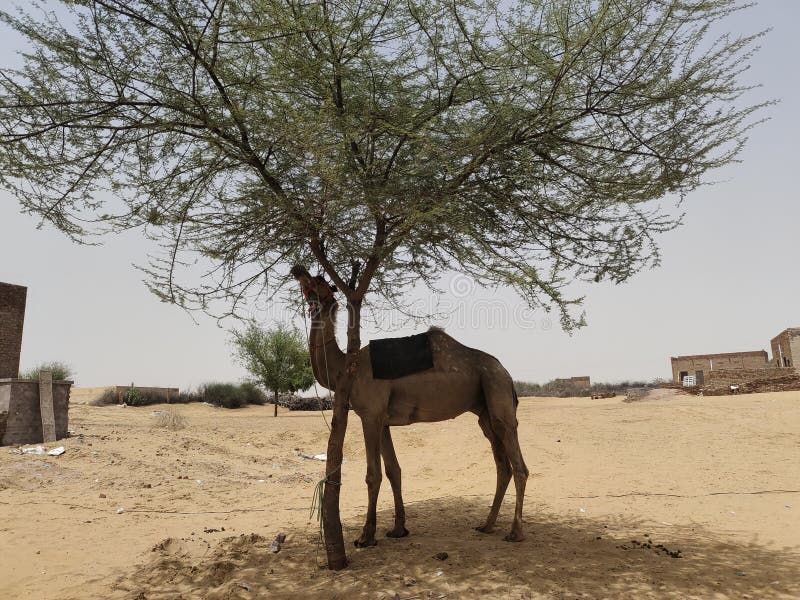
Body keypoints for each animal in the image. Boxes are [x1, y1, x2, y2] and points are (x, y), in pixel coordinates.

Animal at [291, 265, 529, 547]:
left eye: (318, 280)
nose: (296, 269)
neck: (345, 369)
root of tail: (506, 373)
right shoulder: (382, 420)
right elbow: (394, 470)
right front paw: (398, 529)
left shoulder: (370, 415)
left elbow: (373, 474)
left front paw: (366, 536)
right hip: (485, 412)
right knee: (502, 466)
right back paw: (487, 525)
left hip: (496, 391)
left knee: (519, 466)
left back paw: (515, 532)